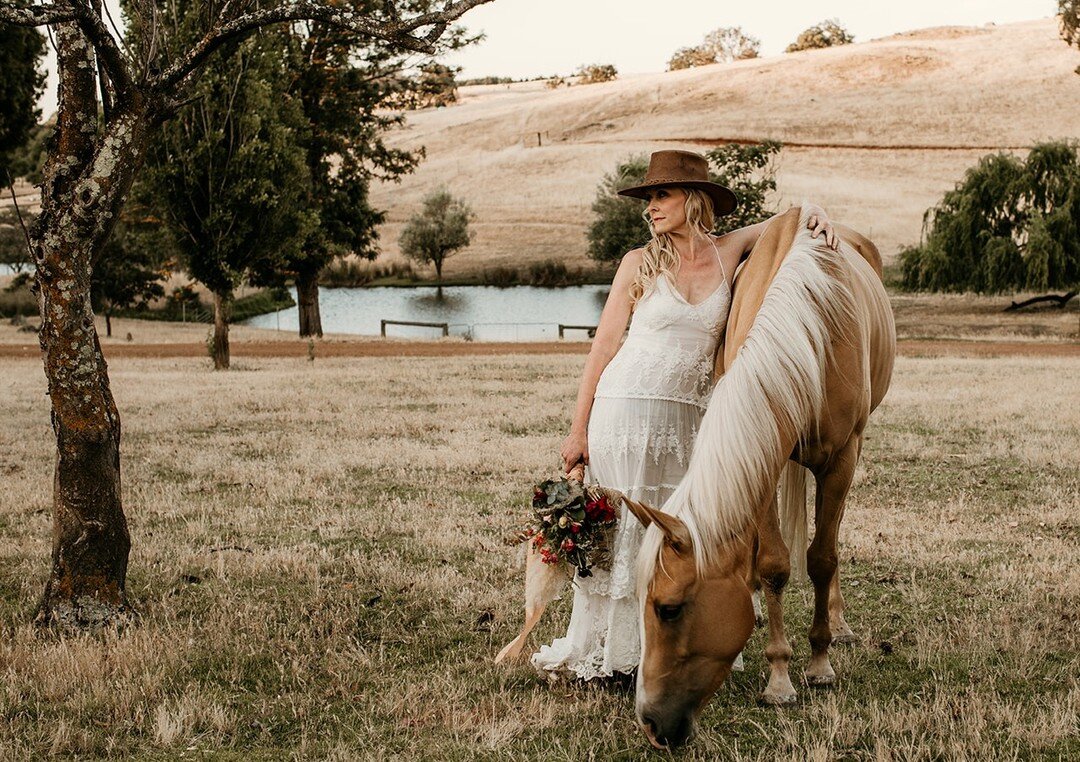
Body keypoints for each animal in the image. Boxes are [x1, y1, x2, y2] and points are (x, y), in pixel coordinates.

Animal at [630, 205, 894, 746]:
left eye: (668, 608)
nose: (648, 722)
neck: (810, 327)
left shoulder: (841, 459)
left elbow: (822, 558)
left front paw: (818, 663)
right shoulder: (764, 461)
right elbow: (773, 565)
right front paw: (778, 675)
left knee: (831, 543)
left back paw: (839, 624)